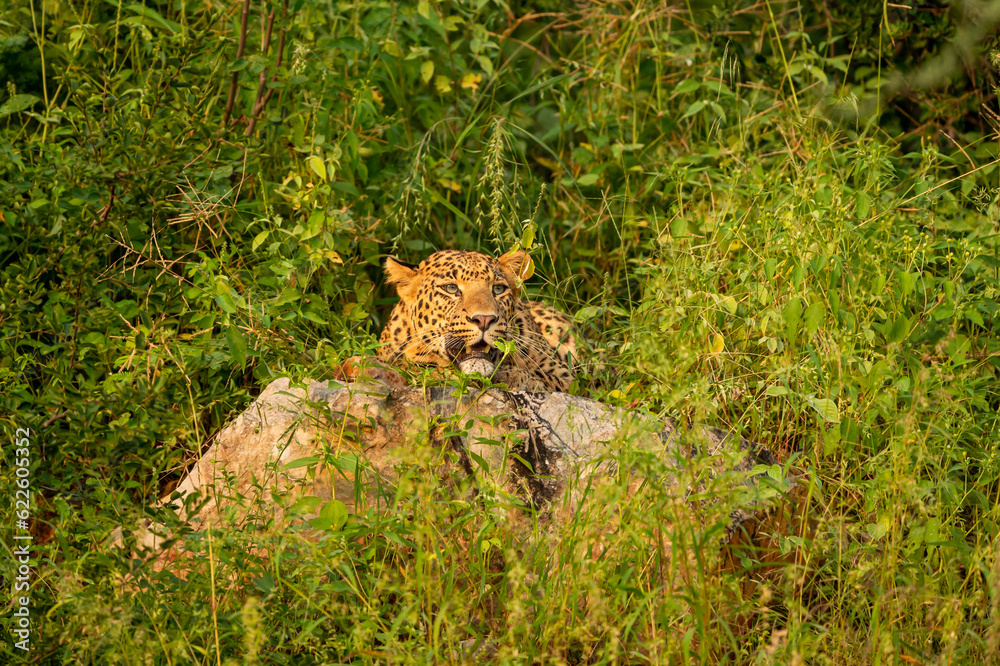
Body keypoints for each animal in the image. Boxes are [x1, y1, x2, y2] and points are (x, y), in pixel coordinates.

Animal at [376, 249, 576, 392]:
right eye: (451, 288)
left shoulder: (566, 377)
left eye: (498, 289)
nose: (484, 319)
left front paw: (515, 378)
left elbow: (548, 380)